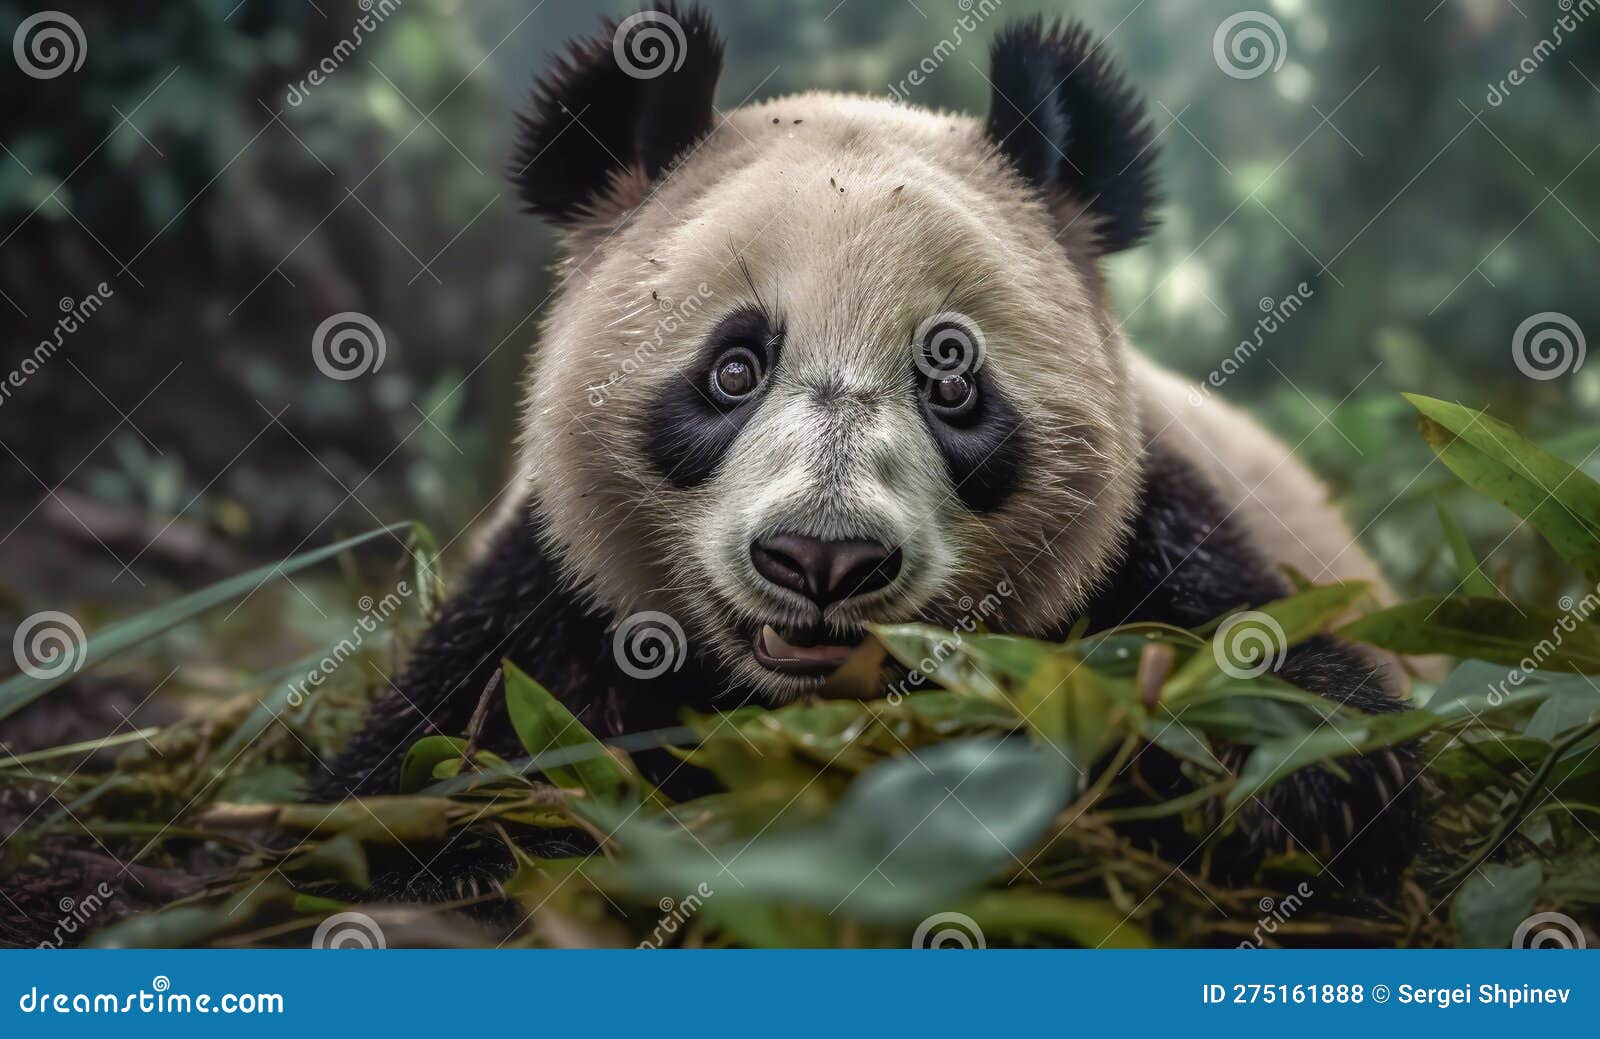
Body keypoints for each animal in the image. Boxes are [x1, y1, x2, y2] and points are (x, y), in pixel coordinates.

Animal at [313, 3, 1422, 889]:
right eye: (733, 369)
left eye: (951, 377)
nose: (822, 559)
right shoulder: (552, 591)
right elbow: (415, 780)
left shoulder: (1159, 533)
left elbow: (1290, 696)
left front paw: (1268, 786)